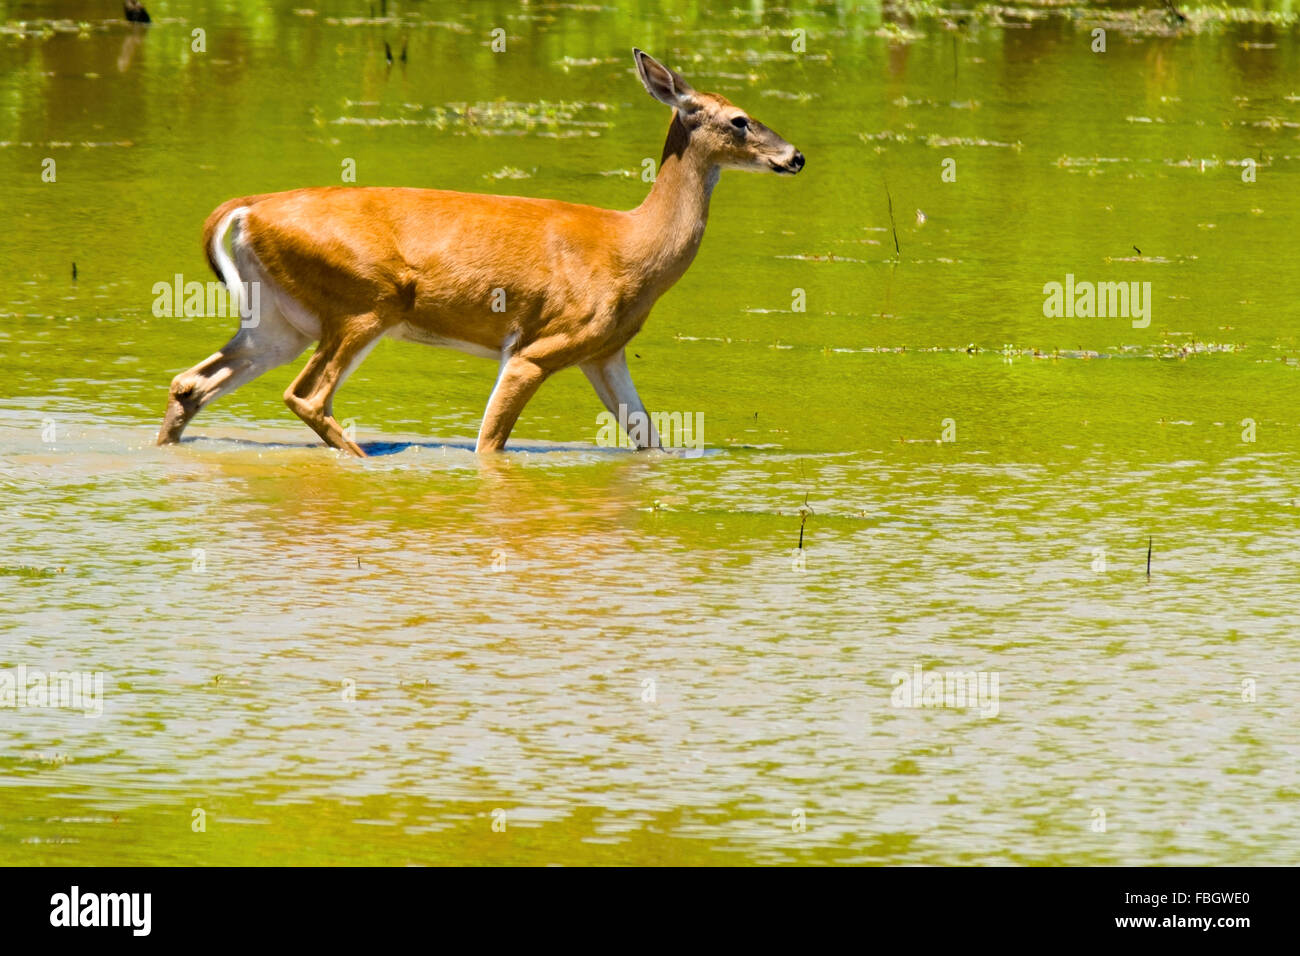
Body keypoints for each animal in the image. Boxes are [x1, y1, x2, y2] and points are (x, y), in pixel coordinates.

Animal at [156, 50, 804, 456]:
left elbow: (650, 441)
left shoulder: (606, 352)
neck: (632, 249)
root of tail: (246, 208)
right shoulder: (539, 346)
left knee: (192, 382)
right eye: (740, 120)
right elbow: (488, 445)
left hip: (278, 319)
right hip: (365, 301)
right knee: (307, 394)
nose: (795, 156)